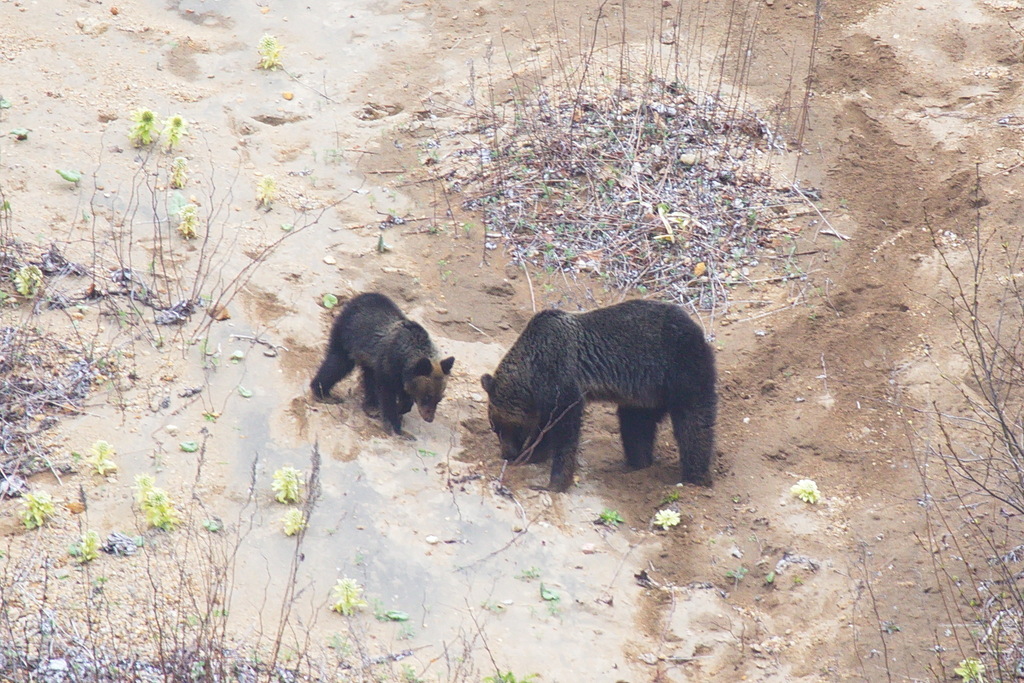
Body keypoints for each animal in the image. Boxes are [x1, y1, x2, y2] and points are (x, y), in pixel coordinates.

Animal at [311, 292, 455, 436]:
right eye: (427, 396)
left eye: (439, 398)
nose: (429, 418)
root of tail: (358, 297)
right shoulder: (389, 367)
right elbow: (387, 396)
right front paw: (394, 425)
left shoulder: (402, 375)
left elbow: (404, 396)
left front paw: (401, 410)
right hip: (348, 335)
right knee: (338, 363)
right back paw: (323, 393)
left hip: (368, 357)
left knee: (367, 376)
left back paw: (370, 406)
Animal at [480, 299, 716, 492]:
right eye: (494, 427)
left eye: (504, 427)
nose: (507, 453)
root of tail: (697, 329)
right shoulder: (546, 398)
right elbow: (546, 430)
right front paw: (531, 455)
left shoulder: (561, 378)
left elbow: (566, 431)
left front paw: (554, 482)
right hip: (644, 395)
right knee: (635, 426)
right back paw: (637, 465)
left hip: (680, 367)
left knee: (693, 423)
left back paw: (695, 477)